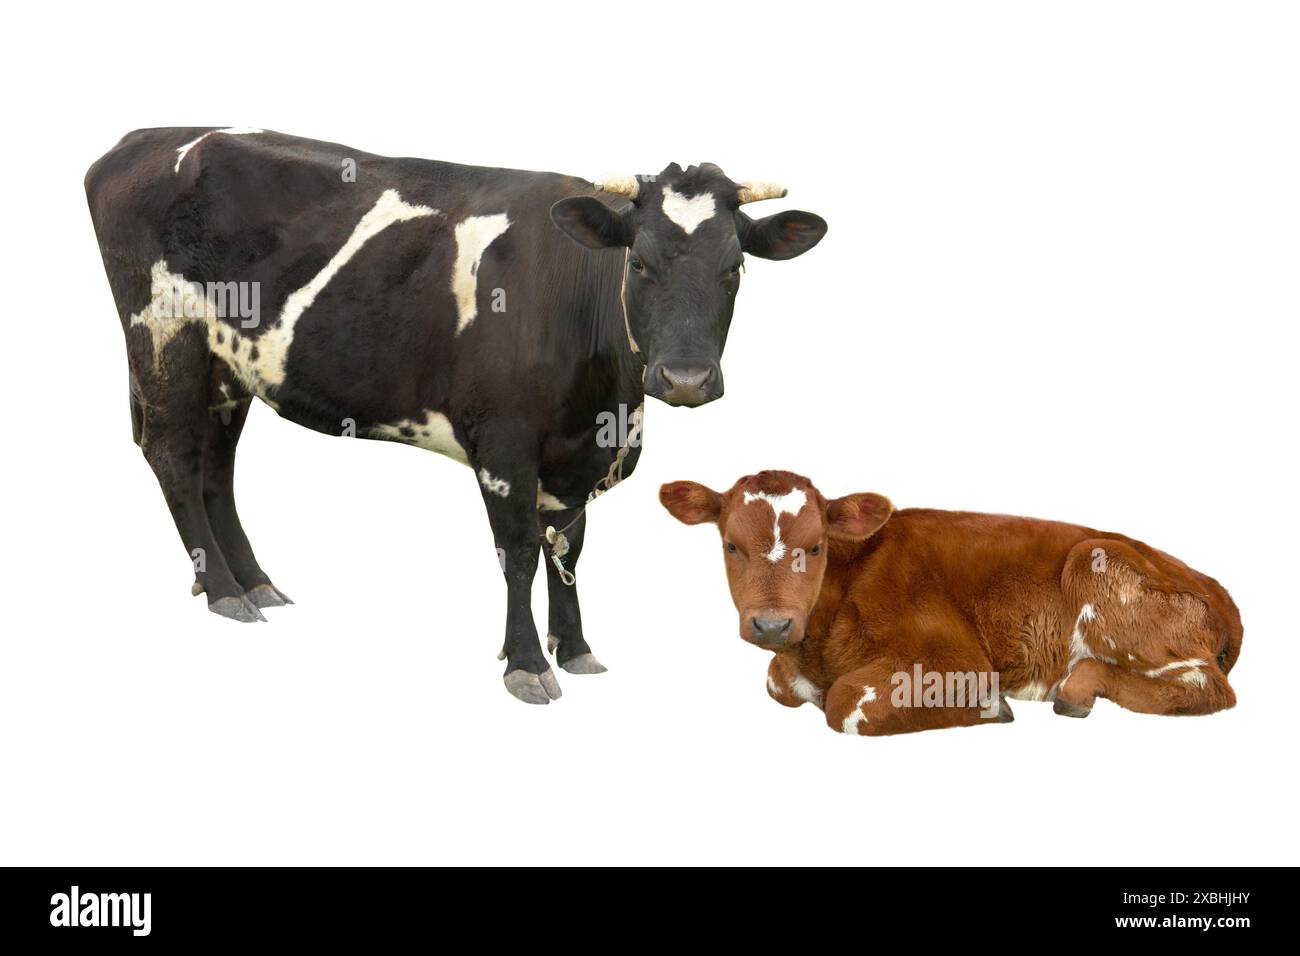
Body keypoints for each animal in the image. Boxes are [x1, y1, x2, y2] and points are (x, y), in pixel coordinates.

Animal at [84, 129, 827, 704]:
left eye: (734, 269)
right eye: (638, 263)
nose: (686, 380)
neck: (607, 402)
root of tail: (138, 141)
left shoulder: (575, 455)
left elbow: (570, 547)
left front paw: (574, 646)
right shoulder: (502, 441)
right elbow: (520, 552)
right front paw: (526, 664)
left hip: (229, 364)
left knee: (217, 468)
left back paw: (254, 583)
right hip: (163, 338)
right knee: (175, 458)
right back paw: (221, 589)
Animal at [660, 470, 1243, 735]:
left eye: (817, 546)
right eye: (730, 544)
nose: (773, 625)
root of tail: (1216, 587)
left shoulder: (953, 659)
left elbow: (844, 702)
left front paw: (989, 705)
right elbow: (777, 680)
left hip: (1094, 566)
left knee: (1208, 689)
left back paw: (1078, 687)